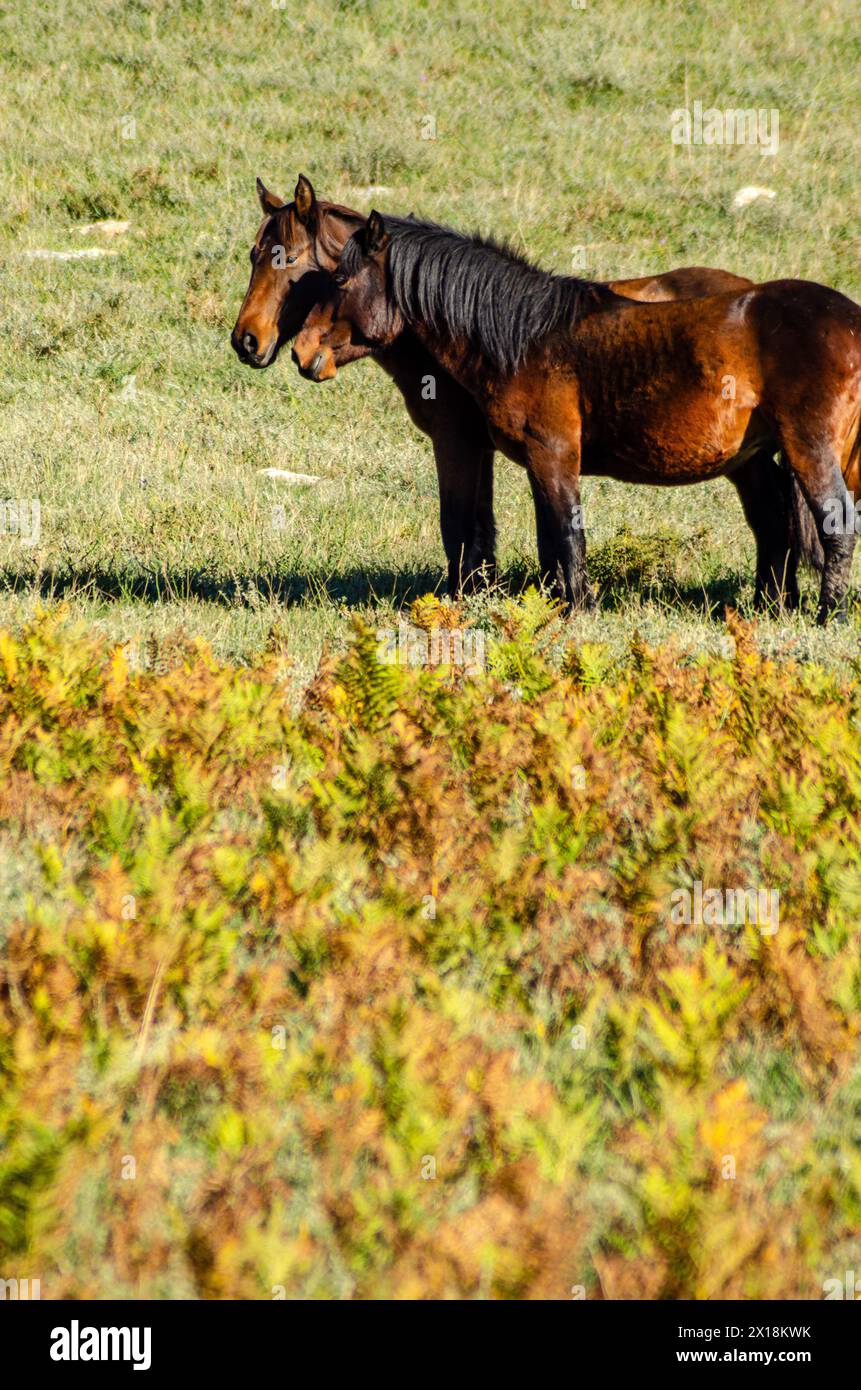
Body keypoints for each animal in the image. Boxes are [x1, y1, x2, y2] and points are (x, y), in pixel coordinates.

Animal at [231, 177, 797, 607]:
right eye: (254, 254)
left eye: (291, 261)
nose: (247, 341)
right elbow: (487, 530)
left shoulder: (459, 443)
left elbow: (462, 525)